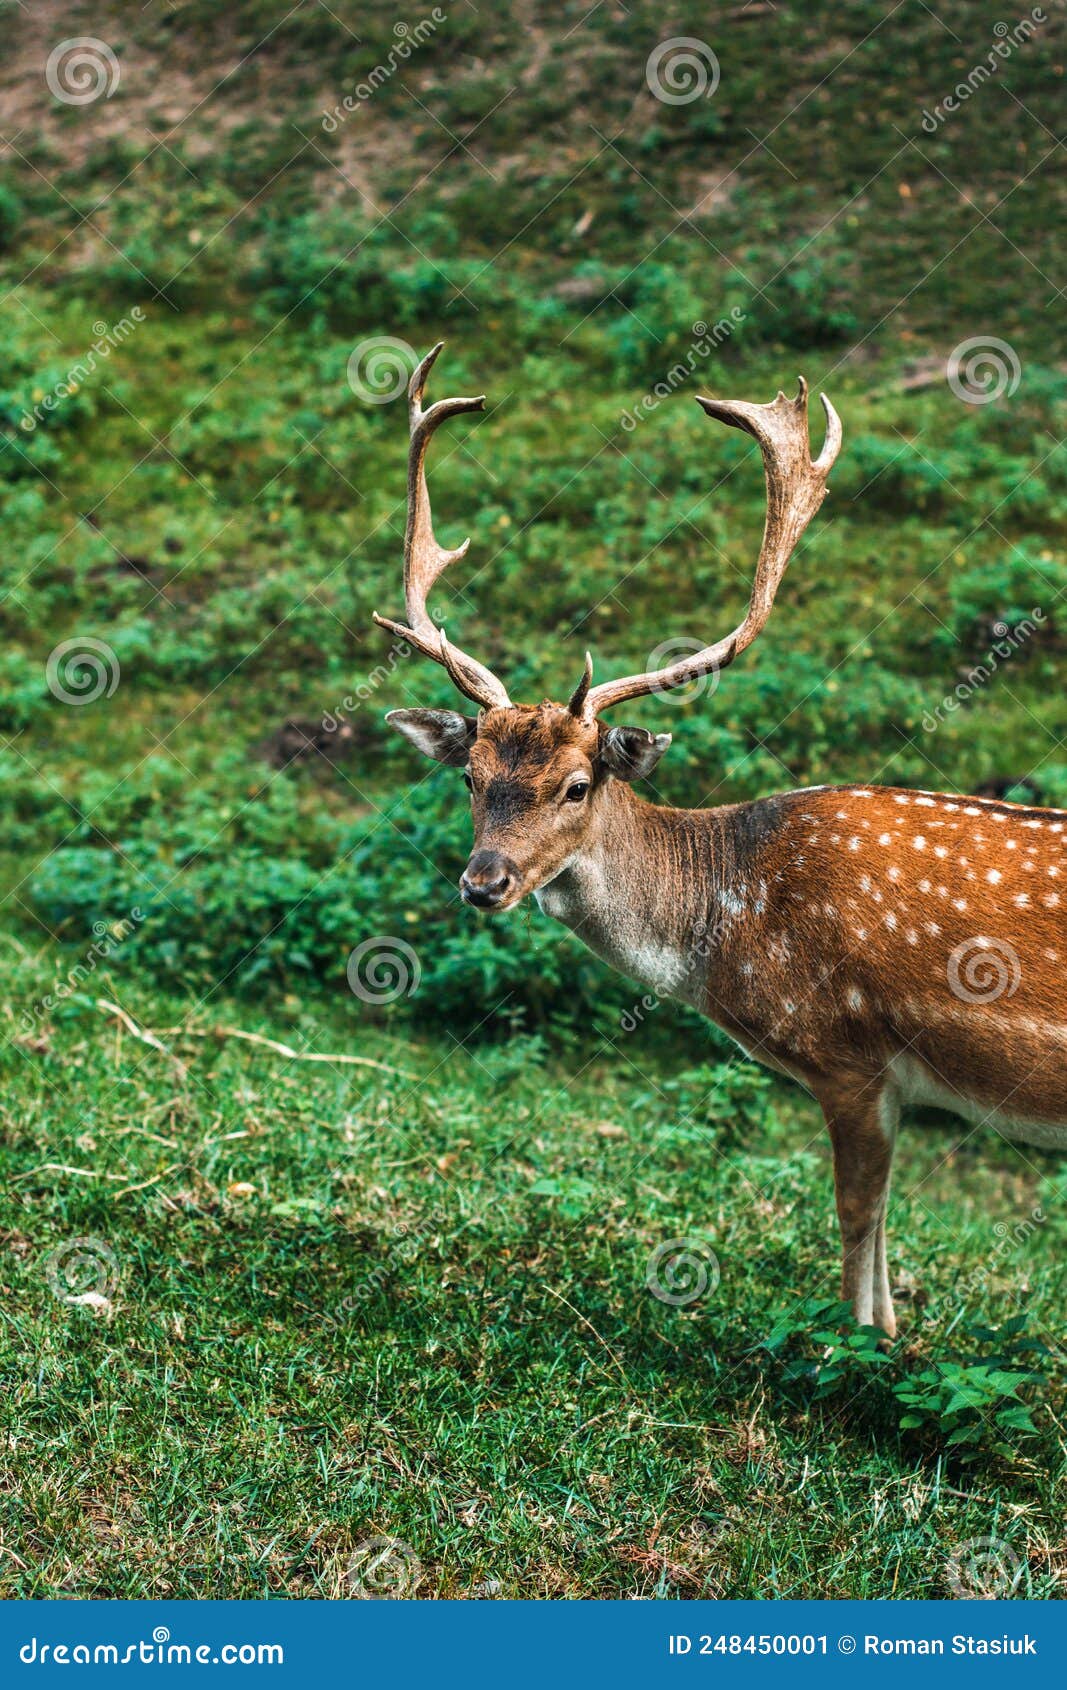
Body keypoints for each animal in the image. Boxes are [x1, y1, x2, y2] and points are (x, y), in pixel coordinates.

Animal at [376, 343, 1067, 1339]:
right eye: (468, 777)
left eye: (578, 784)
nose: (482, 882)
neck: (732, 924)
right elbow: (883, 1240)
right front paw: (892, 1342)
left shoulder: (847, 1056)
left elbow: (856, 1227)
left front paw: (857, 1355)